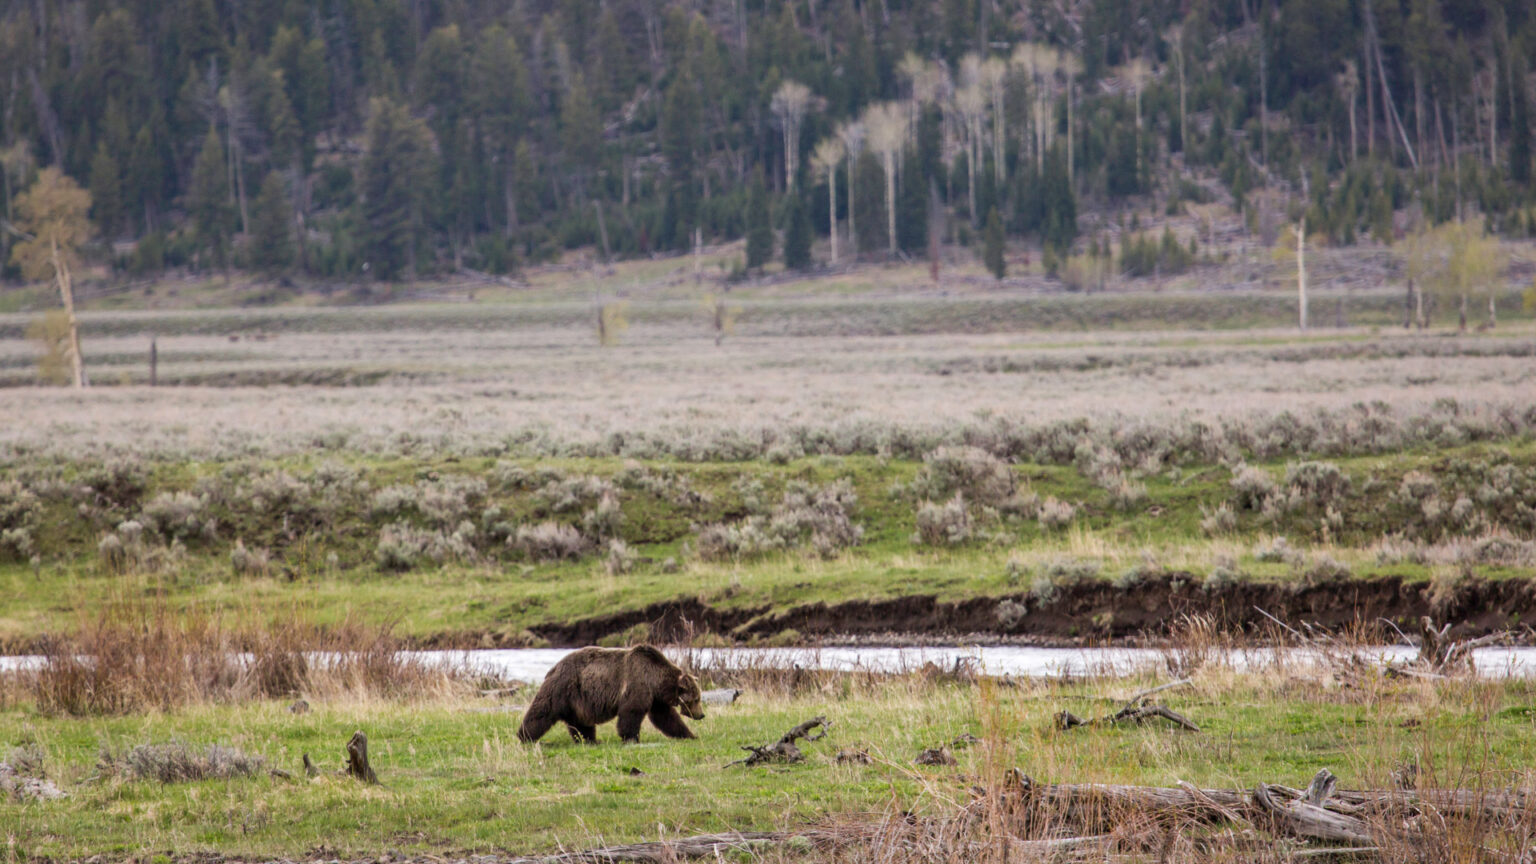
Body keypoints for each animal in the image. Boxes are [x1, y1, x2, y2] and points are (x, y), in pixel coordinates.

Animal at [516, 644, 705, 744]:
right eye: (696, 699)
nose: (701, 715)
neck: (656, 680)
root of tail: (554, 667)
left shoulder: (656, 698)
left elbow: (667, 718)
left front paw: (690, 735)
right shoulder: (637, 685)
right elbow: (631, 713)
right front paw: (631, 738)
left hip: (578, 702)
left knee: (580, 723)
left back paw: (590, 740)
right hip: (564, 688)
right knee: (542, 711)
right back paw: (524, 736)